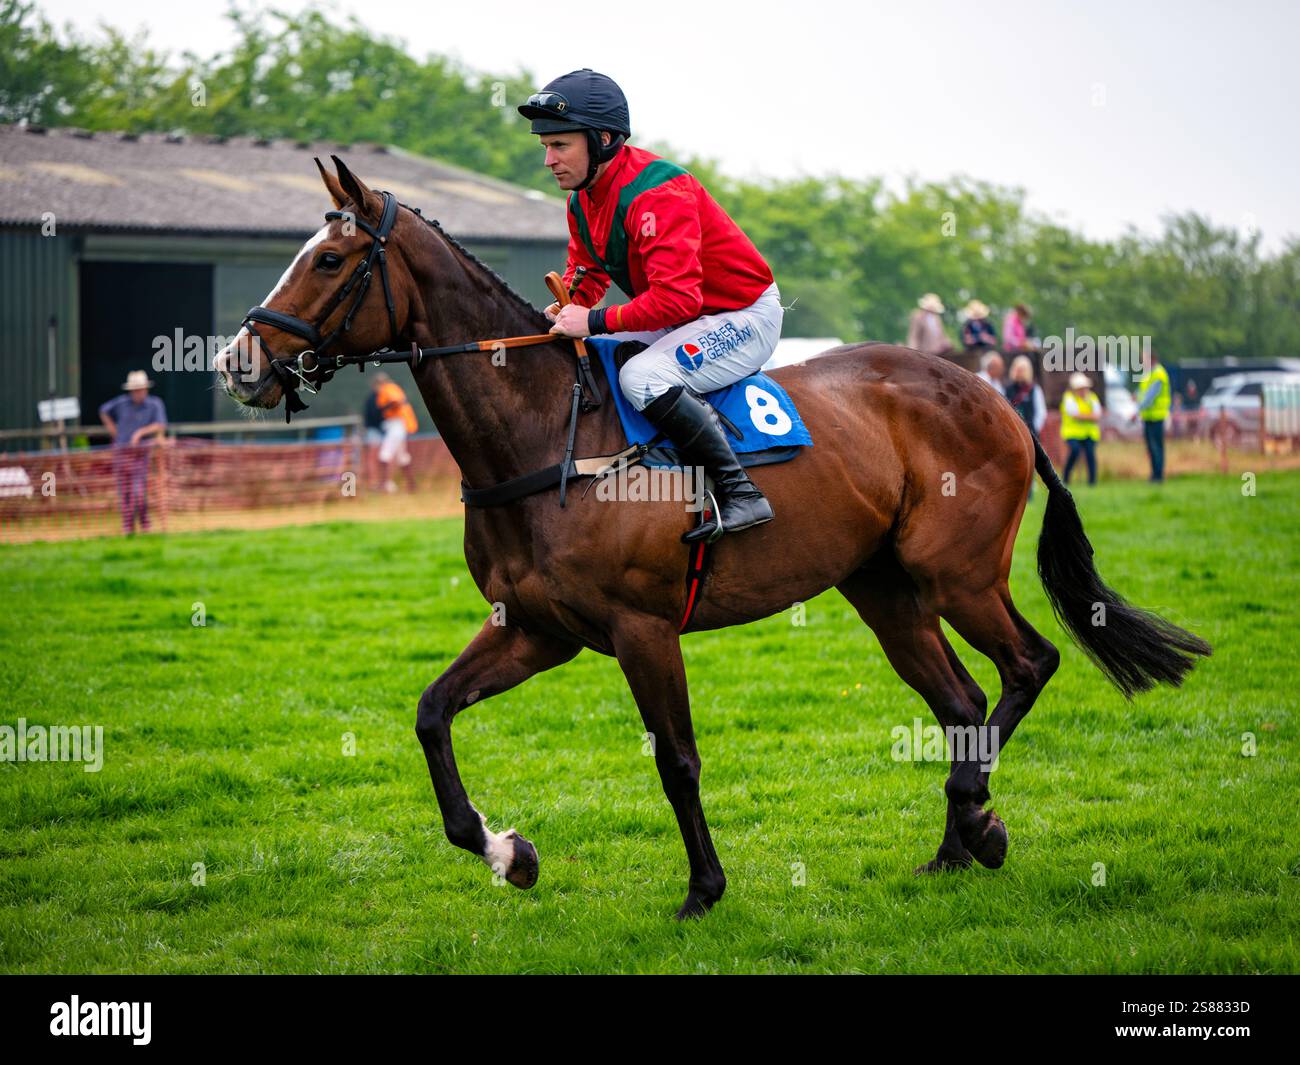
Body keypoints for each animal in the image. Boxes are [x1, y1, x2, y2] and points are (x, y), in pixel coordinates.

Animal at [214, 157, 1211, 919]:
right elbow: (431, 714)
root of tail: (998, 395)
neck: (549, 435)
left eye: (330, 258)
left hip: (958, 574)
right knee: (963, 702)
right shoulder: (534, 628)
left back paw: (975, 815)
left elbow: (678, 760)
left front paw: (703, 888)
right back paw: (961, 842)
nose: (237, 362)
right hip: (884, 589)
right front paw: (508, 851)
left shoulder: (643, 628)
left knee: (1029, 664)